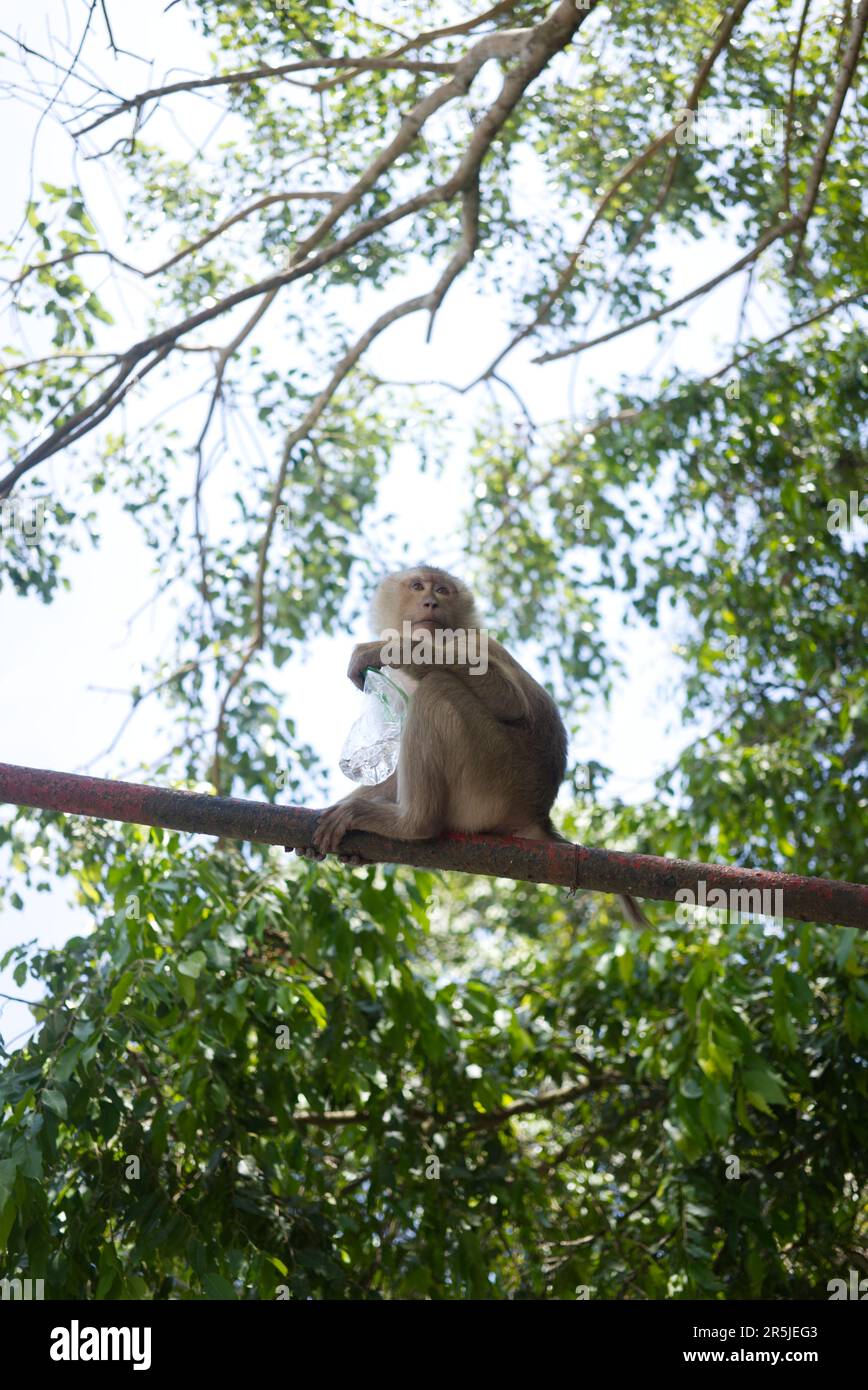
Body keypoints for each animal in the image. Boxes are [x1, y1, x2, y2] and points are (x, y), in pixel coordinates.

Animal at [304, 564, 647, 927]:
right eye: (418, 586)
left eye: (442, 590)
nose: (430, 602)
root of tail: (537, 815)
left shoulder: (471, 642)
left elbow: (509, 700)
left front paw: (384, 649)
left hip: (494, 777)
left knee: (438, 686)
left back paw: (413, 823)